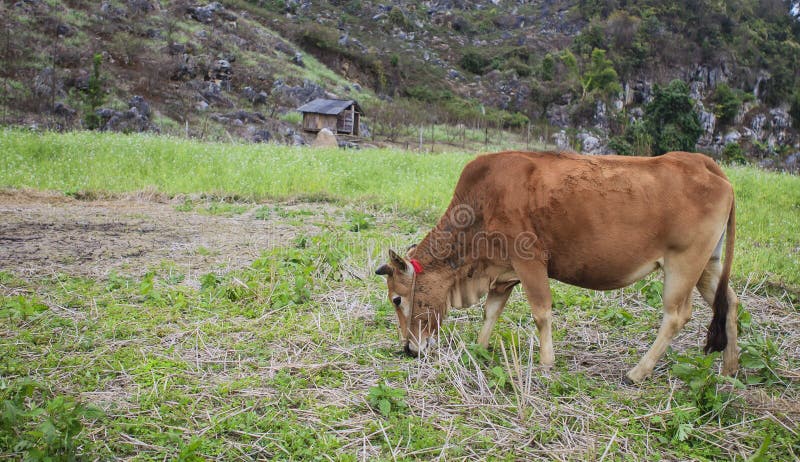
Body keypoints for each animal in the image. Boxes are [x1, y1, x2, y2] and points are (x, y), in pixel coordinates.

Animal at [376, 150, 738, 383]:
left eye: (397, 299)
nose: (408, 349)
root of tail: (704, 163)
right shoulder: (503, 272)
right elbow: (491, 311)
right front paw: (479, 347)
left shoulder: (530, 260)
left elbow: (541, 312)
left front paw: (546, 362)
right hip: (708, 265)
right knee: (730, 304)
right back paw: (730, 370)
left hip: (683, 264)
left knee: (676, 316)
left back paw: (637, 373)